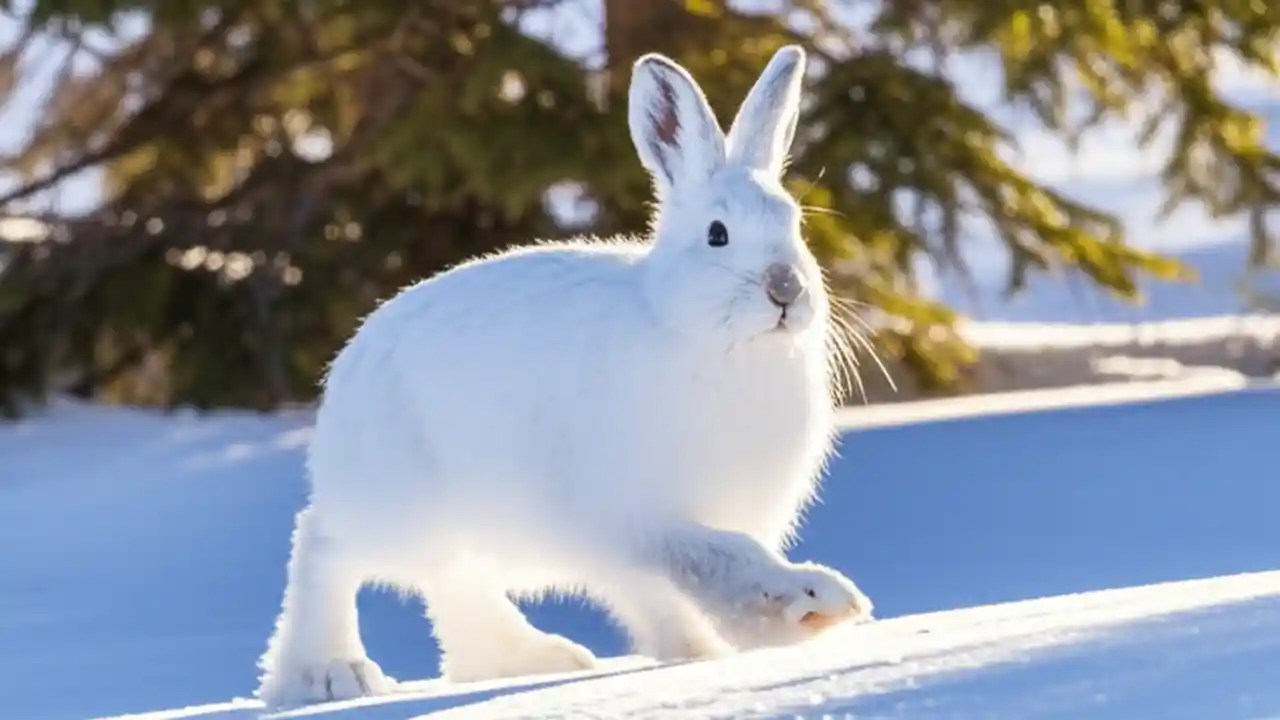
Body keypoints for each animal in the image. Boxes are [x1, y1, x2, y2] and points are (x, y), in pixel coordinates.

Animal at [256, 44, 873, 709]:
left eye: (796, 225)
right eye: (717, 234)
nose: (786, 288)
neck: (707, 338)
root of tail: (350, 364)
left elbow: (669, 592)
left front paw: (702, 654)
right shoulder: (637, 516)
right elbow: (719, 557)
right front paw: (808, 606)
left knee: (453, 583)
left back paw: (527, 659)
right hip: (397, 504)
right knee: (324, 544)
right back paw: (327, 674)